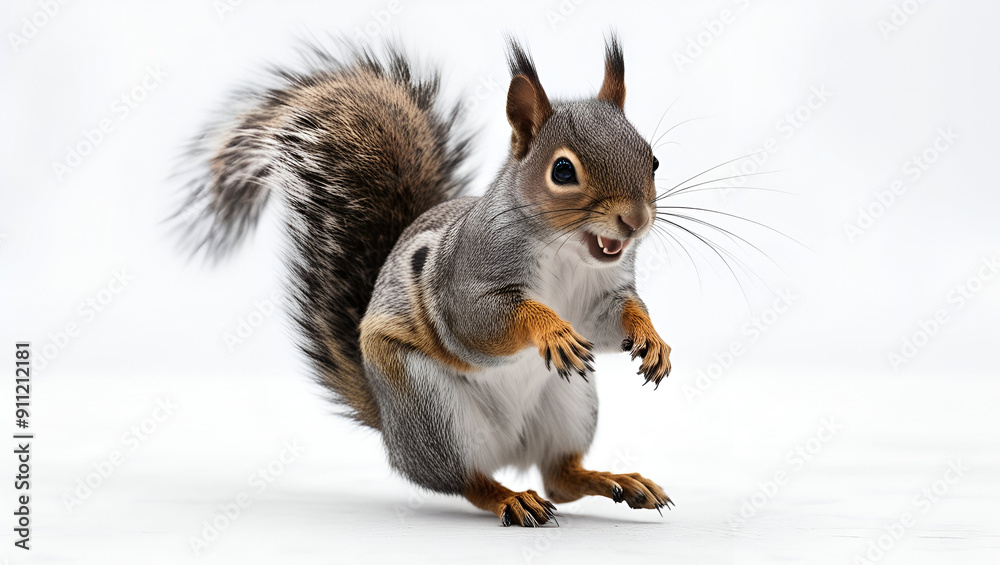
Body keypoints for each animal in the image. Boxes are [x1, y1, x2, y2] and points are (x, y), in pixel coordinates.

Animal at [176, 35, 674, 527]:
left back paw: (620, 481)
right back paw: (511, 498)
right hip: (430, 407)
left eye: (652, 160)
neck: (568, 254)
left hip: (570, 401)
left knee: (560, 477)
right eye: (563, 171)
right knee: (468, 481)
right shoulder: (464, 281)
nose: (635, 220)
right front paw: (550, 329)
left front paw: (651, 338)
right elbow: (484, 323)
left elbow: (612, 318)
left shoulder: (602, 295)